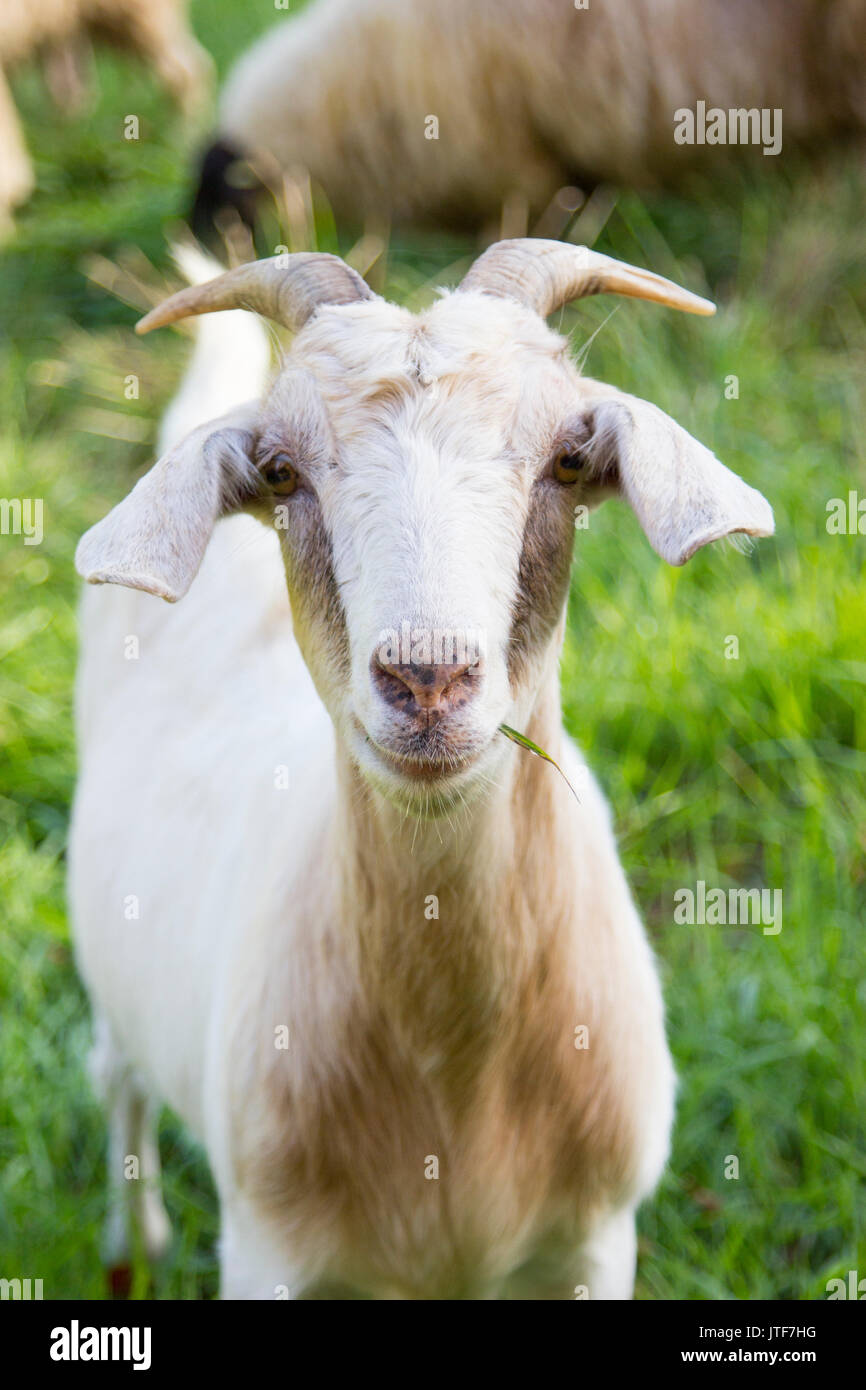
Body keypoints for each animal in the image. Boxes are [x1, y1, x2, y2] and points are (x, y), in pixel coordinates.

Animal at [70, 238, 773, 1299]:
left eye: (570, 458)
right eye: (280, 470)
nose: (427, 679)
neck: (455, 1082)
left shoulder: (594, 1242)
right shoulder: (268, 1252)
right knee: (115, 1080)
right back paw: (131, 1248)